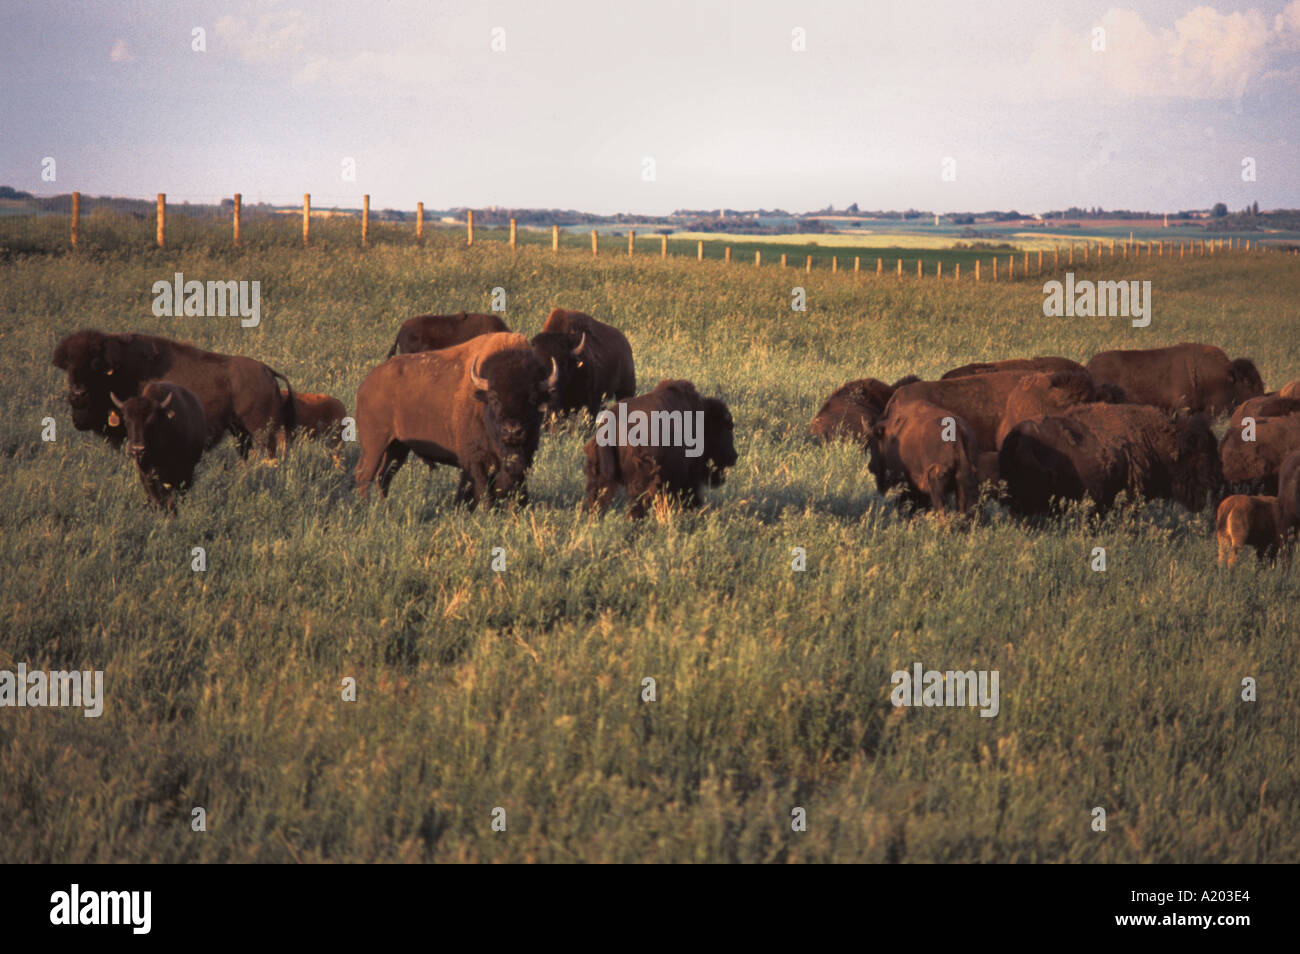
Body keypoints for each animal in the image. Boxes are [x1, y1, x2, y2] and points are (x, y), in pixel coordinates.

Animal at [52, 329, 294, 457]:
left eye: (96, 365)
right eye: (69, 367)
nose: (78, 394)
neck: (121, 368)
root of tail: (268, 371)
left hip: (261, 432)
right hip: (241, 432)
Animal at [111, 382, 207, 514]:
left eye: (152, 421)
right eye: (126, 420)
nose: (138, 449)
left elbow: (171, 500)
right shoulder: (145, 473)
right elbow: (155, 497)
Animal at [353, 332, 557, 506]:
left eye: (532, 398)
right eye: (494, 397)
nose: (512, 431)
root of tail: (365, 385)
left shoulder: (525, 457)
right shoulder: (476, 462)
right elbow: (482, 492)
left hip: (397, 447)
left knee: (383, 476)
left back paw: (382, 506)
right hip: (375, 444)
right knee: (365, 475)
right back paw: (366, 508)